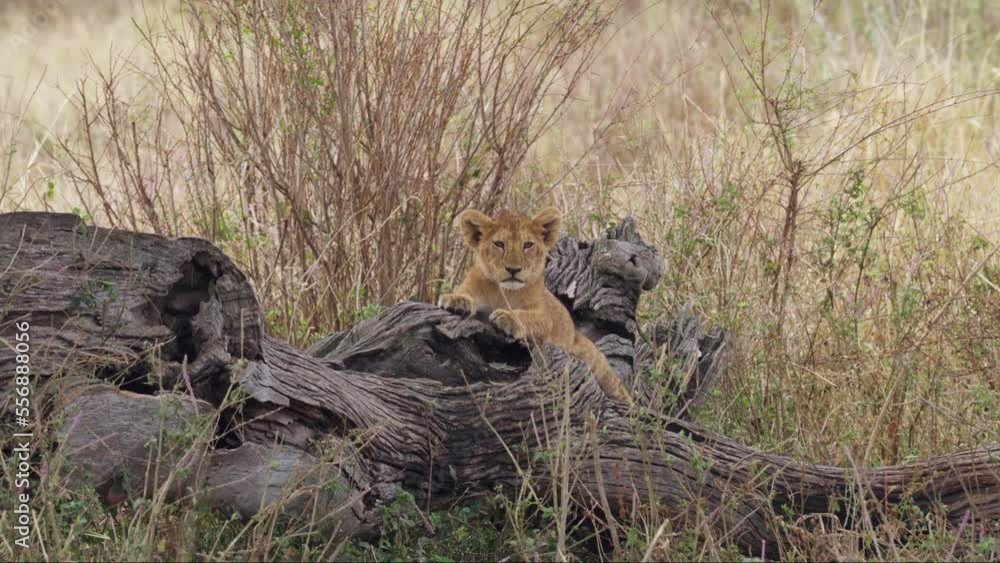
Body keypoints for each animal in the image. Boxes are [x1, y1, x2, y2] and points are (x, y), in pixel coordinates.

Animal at [438, 207, 631, 403]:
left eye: (528, 245)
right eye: (499, 244)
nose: (513, 269)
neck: (504, 292)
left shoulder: (544, 316)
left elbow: (528, 318)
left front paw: (507, 318)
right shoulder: (471, 287)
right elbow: (464, 294)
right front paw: (456, 301)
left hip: (597, 363)